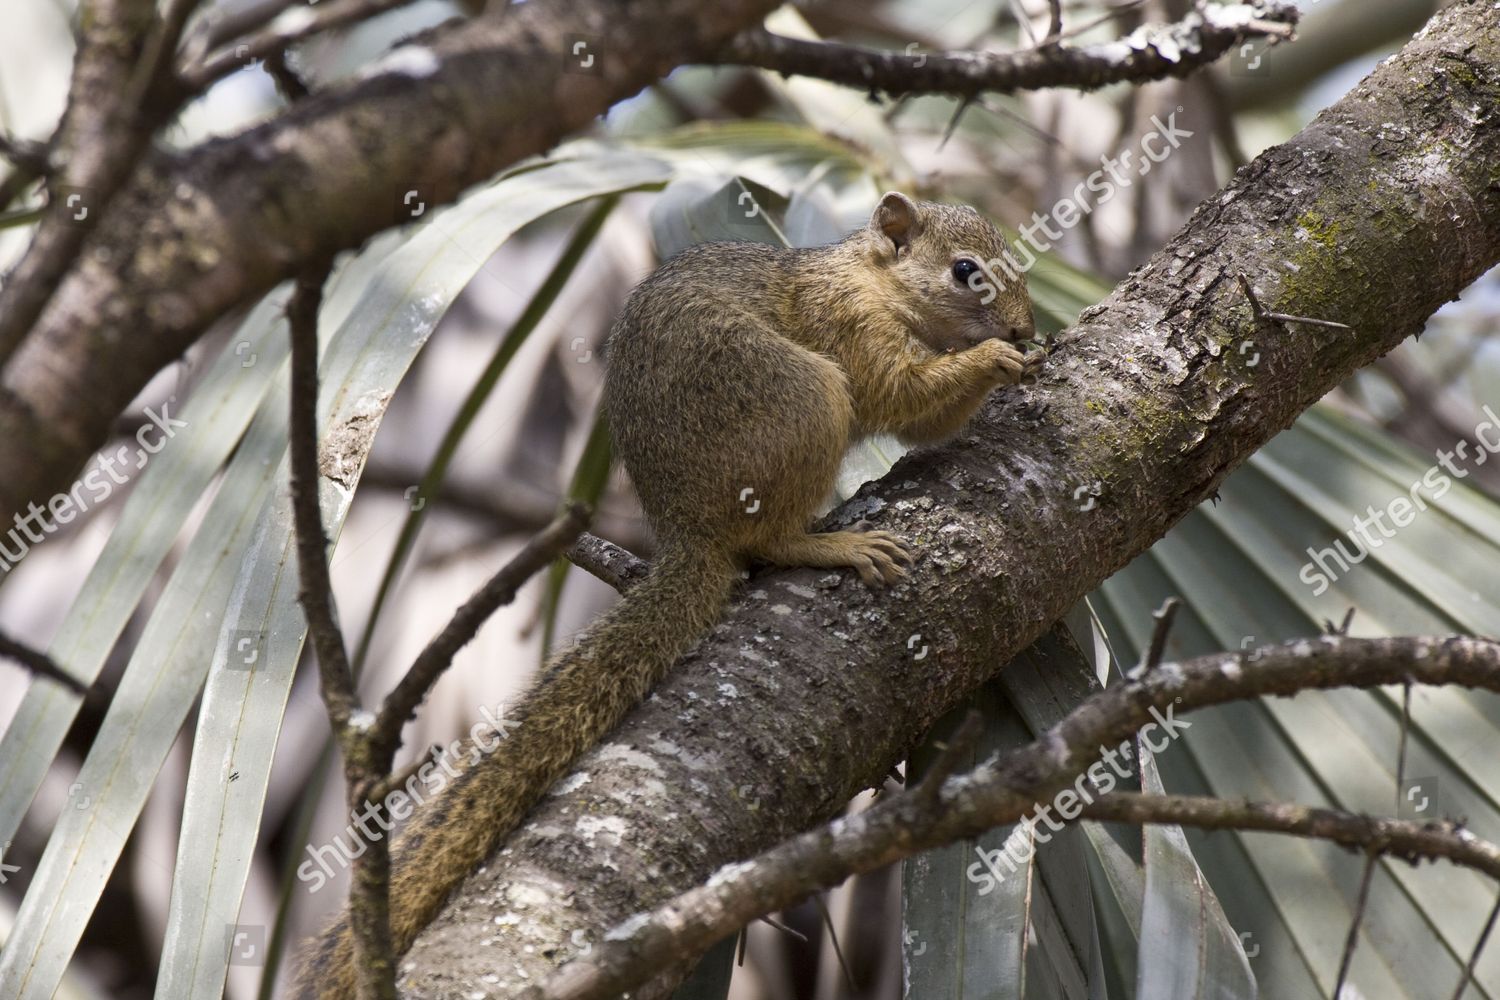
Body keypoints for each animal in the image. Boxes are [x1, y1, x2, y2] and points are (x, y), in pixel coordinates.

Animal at [296, 192, 1040, 997]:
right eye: (965, 273)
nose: (1025, 328)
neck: (870, 279)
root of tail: (690, 530)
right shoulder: (847, 324)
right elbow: (897, 393)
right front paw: (996, 360)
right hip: (797, 397)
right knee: (770, 533)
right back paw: (827, 543)